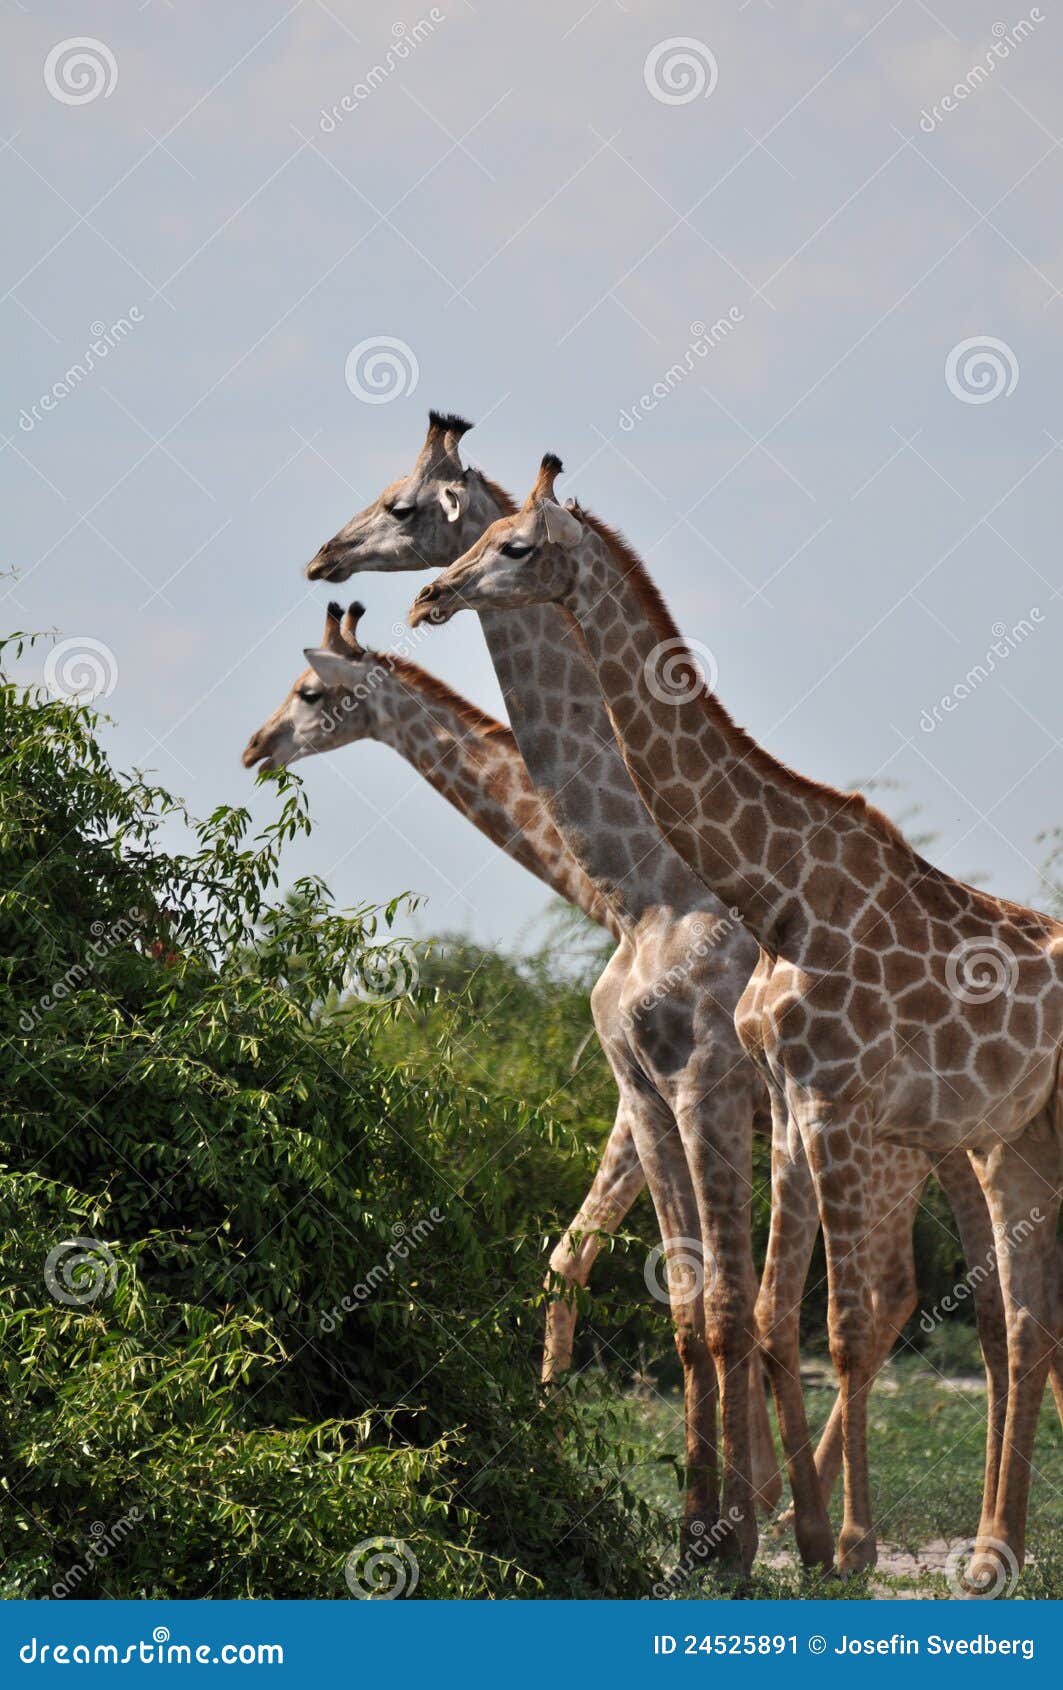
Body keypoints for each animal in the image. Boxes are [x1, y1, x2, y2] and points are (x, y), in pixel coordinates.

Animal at [301, 414, 1034, 1573]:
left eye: (406, 505)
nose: (329, 563)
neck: (642, 883)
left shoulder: (713, 1088)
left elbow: (739, 1304)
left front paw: (750, 1527)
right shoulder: (645, 1089)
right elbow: (677, 1297)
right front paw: (708, 1522)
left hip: (945, 1146)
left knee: (947, 1308)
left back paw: (923, 1535)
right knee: (952, 1306)